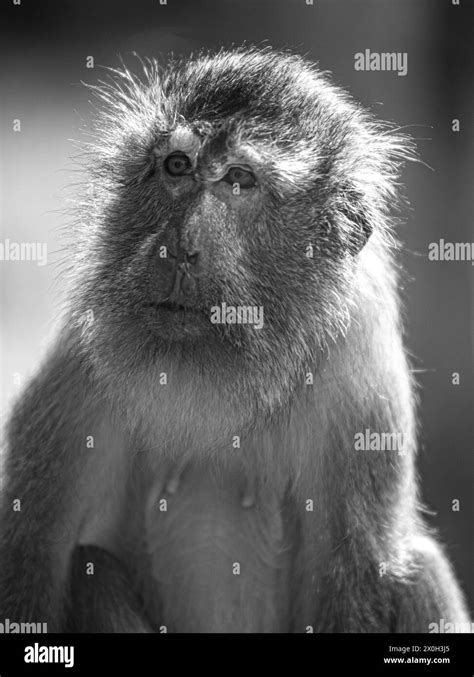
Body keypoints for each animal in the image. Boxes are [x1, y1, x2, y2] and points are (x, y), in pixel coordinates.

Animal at [0, 46, 470, 633]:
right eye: (177, 167)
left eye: (239, 180)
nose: (178, 247)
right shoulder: (81, 363)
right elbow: (30, 557)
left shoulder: (360, 387)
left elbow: (356, 580)